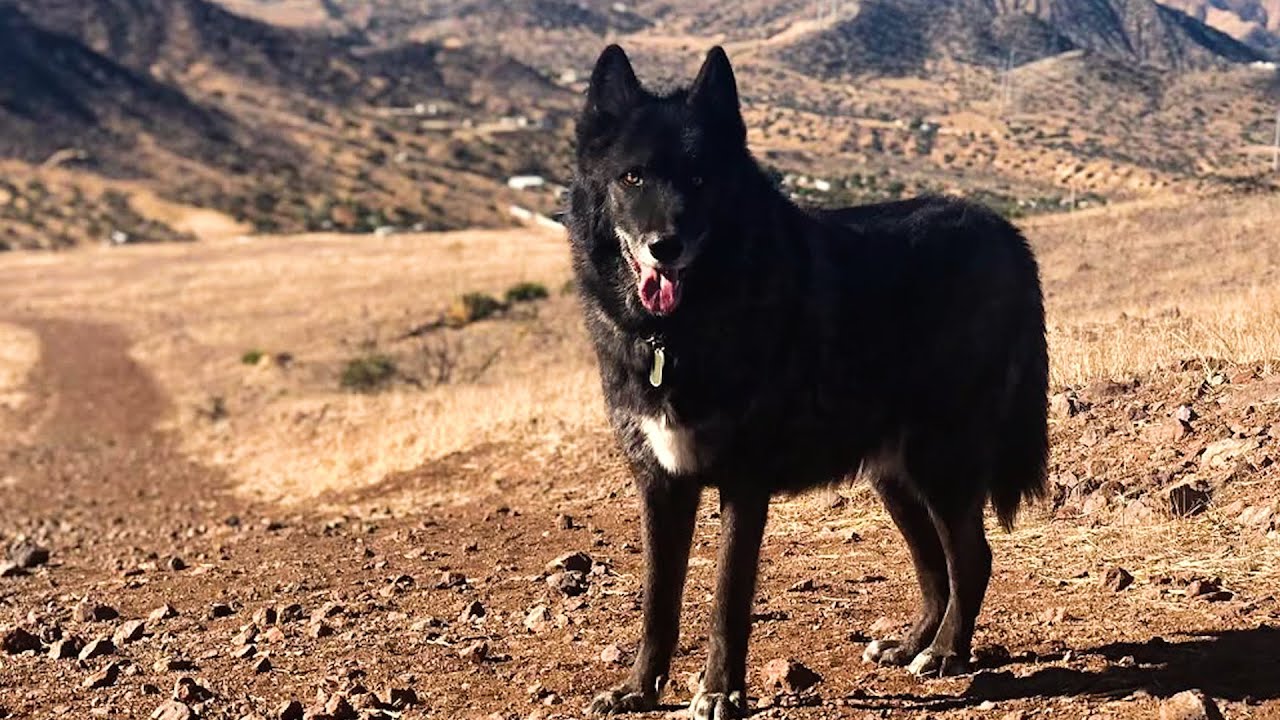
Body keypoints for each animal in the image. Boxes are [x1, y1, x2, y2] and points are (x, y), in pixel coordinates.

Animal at [566, 45, 1048, 719]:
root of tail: (1006, 229)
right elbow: (657, 602)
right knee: (934, 566)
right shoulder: (660, 484)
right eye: (632, 178)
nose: (667, 246)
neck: (677, 335)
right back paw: (908, 645)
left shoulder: (744, 485)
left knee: (971, 558)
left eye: (699, 180)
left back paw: (946, 654)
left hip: (941, 462)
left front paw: (720, 693)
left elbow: (727, 601)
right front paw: (639, 690)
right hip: (895, 476)